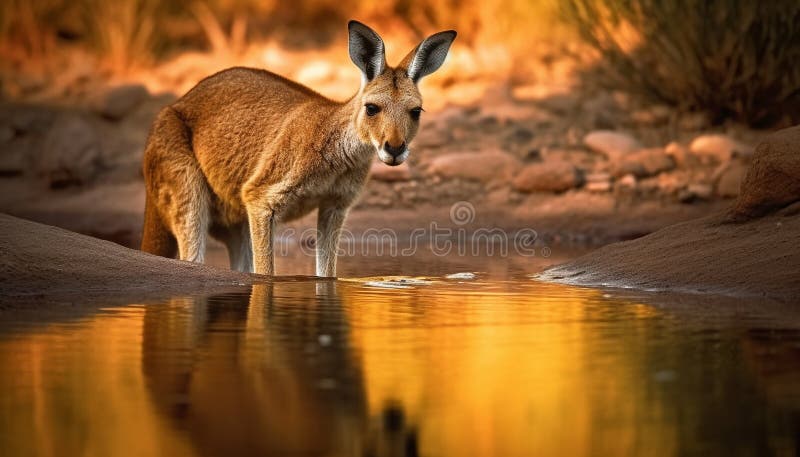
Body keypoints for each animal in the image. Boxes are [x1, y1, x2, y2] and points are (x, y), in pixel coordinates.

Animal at [140, 21, 456, 277]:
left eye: (416, 112)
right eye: (371, 109)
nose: (394, 148)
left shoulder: (336, 204)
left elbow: (327, 272)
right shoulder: (261, 194)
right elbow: (266, 273)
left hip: (233, 218)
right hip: (182, 176)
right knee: (193, 250)